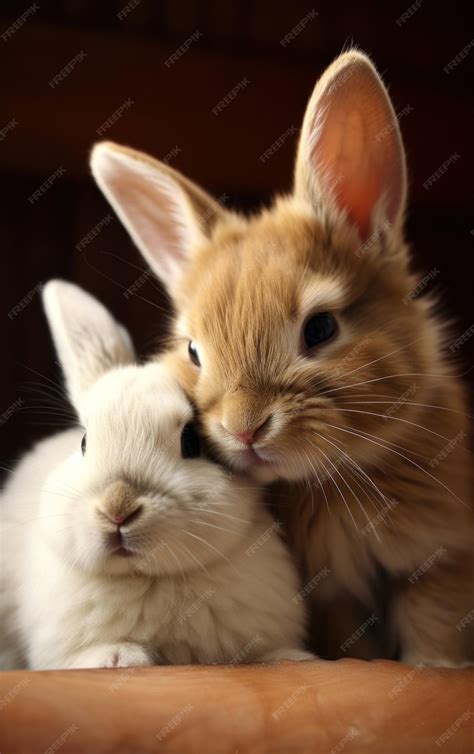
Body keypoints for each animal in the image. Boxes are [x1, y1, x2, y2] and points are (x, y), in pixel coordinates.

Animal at [0, 280, 314, 670]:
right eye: (85, 442)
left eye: (191, 441)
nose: (117, 508)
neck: (149, 578)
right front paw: (118, 658)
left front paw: (292, 659)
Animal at [89, 50, 473, 668]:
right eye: (194, 351)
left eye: (321, 328)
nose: (245, 428)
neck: (345, 473)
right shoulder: (332, 594)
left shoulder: (441, 560)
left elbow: (435, 623)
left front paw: (435, 669)